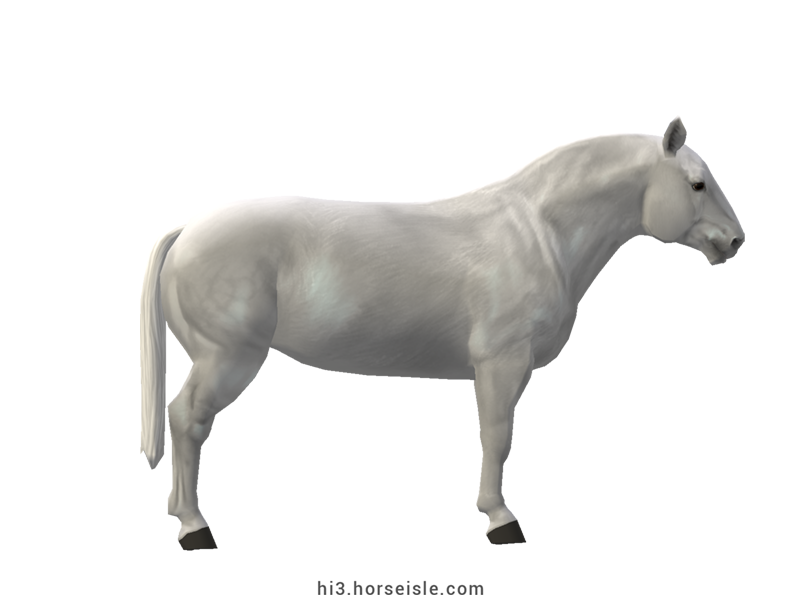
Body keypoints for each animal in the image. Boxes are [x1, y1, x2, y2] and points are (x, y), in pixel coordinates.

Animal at [141, 118, 744, 540]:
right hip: (223, 359)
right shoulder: (501, 360)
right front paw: (497, 514)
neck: (540, 232)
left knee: (179, 419)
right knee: (186, 420)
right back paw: (192, 522)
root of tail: (188, 230)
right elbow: (497, 434)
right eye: (697, 184)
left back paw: (177, 513)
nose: (733, 240)